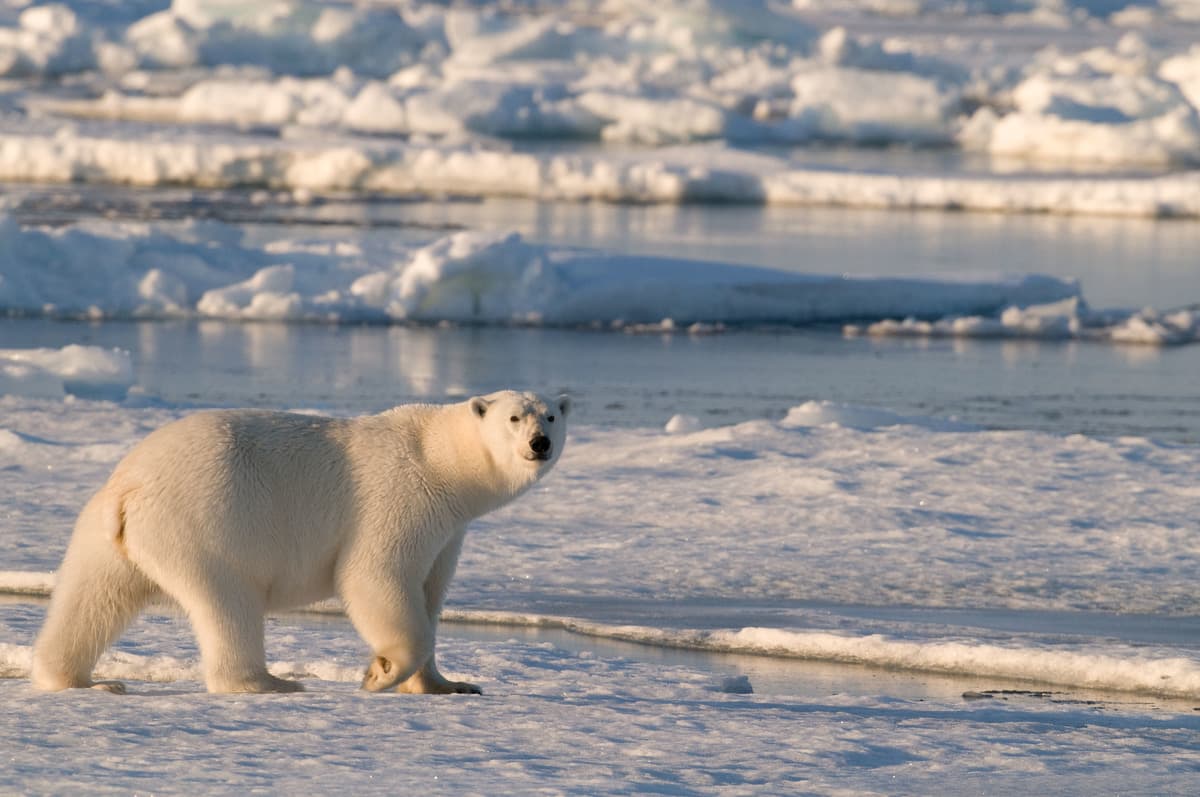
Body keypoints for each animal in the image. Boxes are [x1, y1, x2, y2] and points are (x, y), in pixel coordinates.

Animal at [31, 390, 569, 695]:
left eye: (551, 417)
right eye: (515, 418)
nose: (539, 443)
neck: (440, 461)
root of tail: (130, 488)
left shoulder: (449, 530)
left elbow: (430, 595)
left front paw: (449, 685)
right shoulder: (401, 497)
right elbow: (375, 576)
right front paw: (379, 673)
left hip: (106, 533)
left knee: (91, 598)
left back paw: (82, 679)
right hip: (208, 520)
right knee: (229, 601)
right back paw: (268, 682)